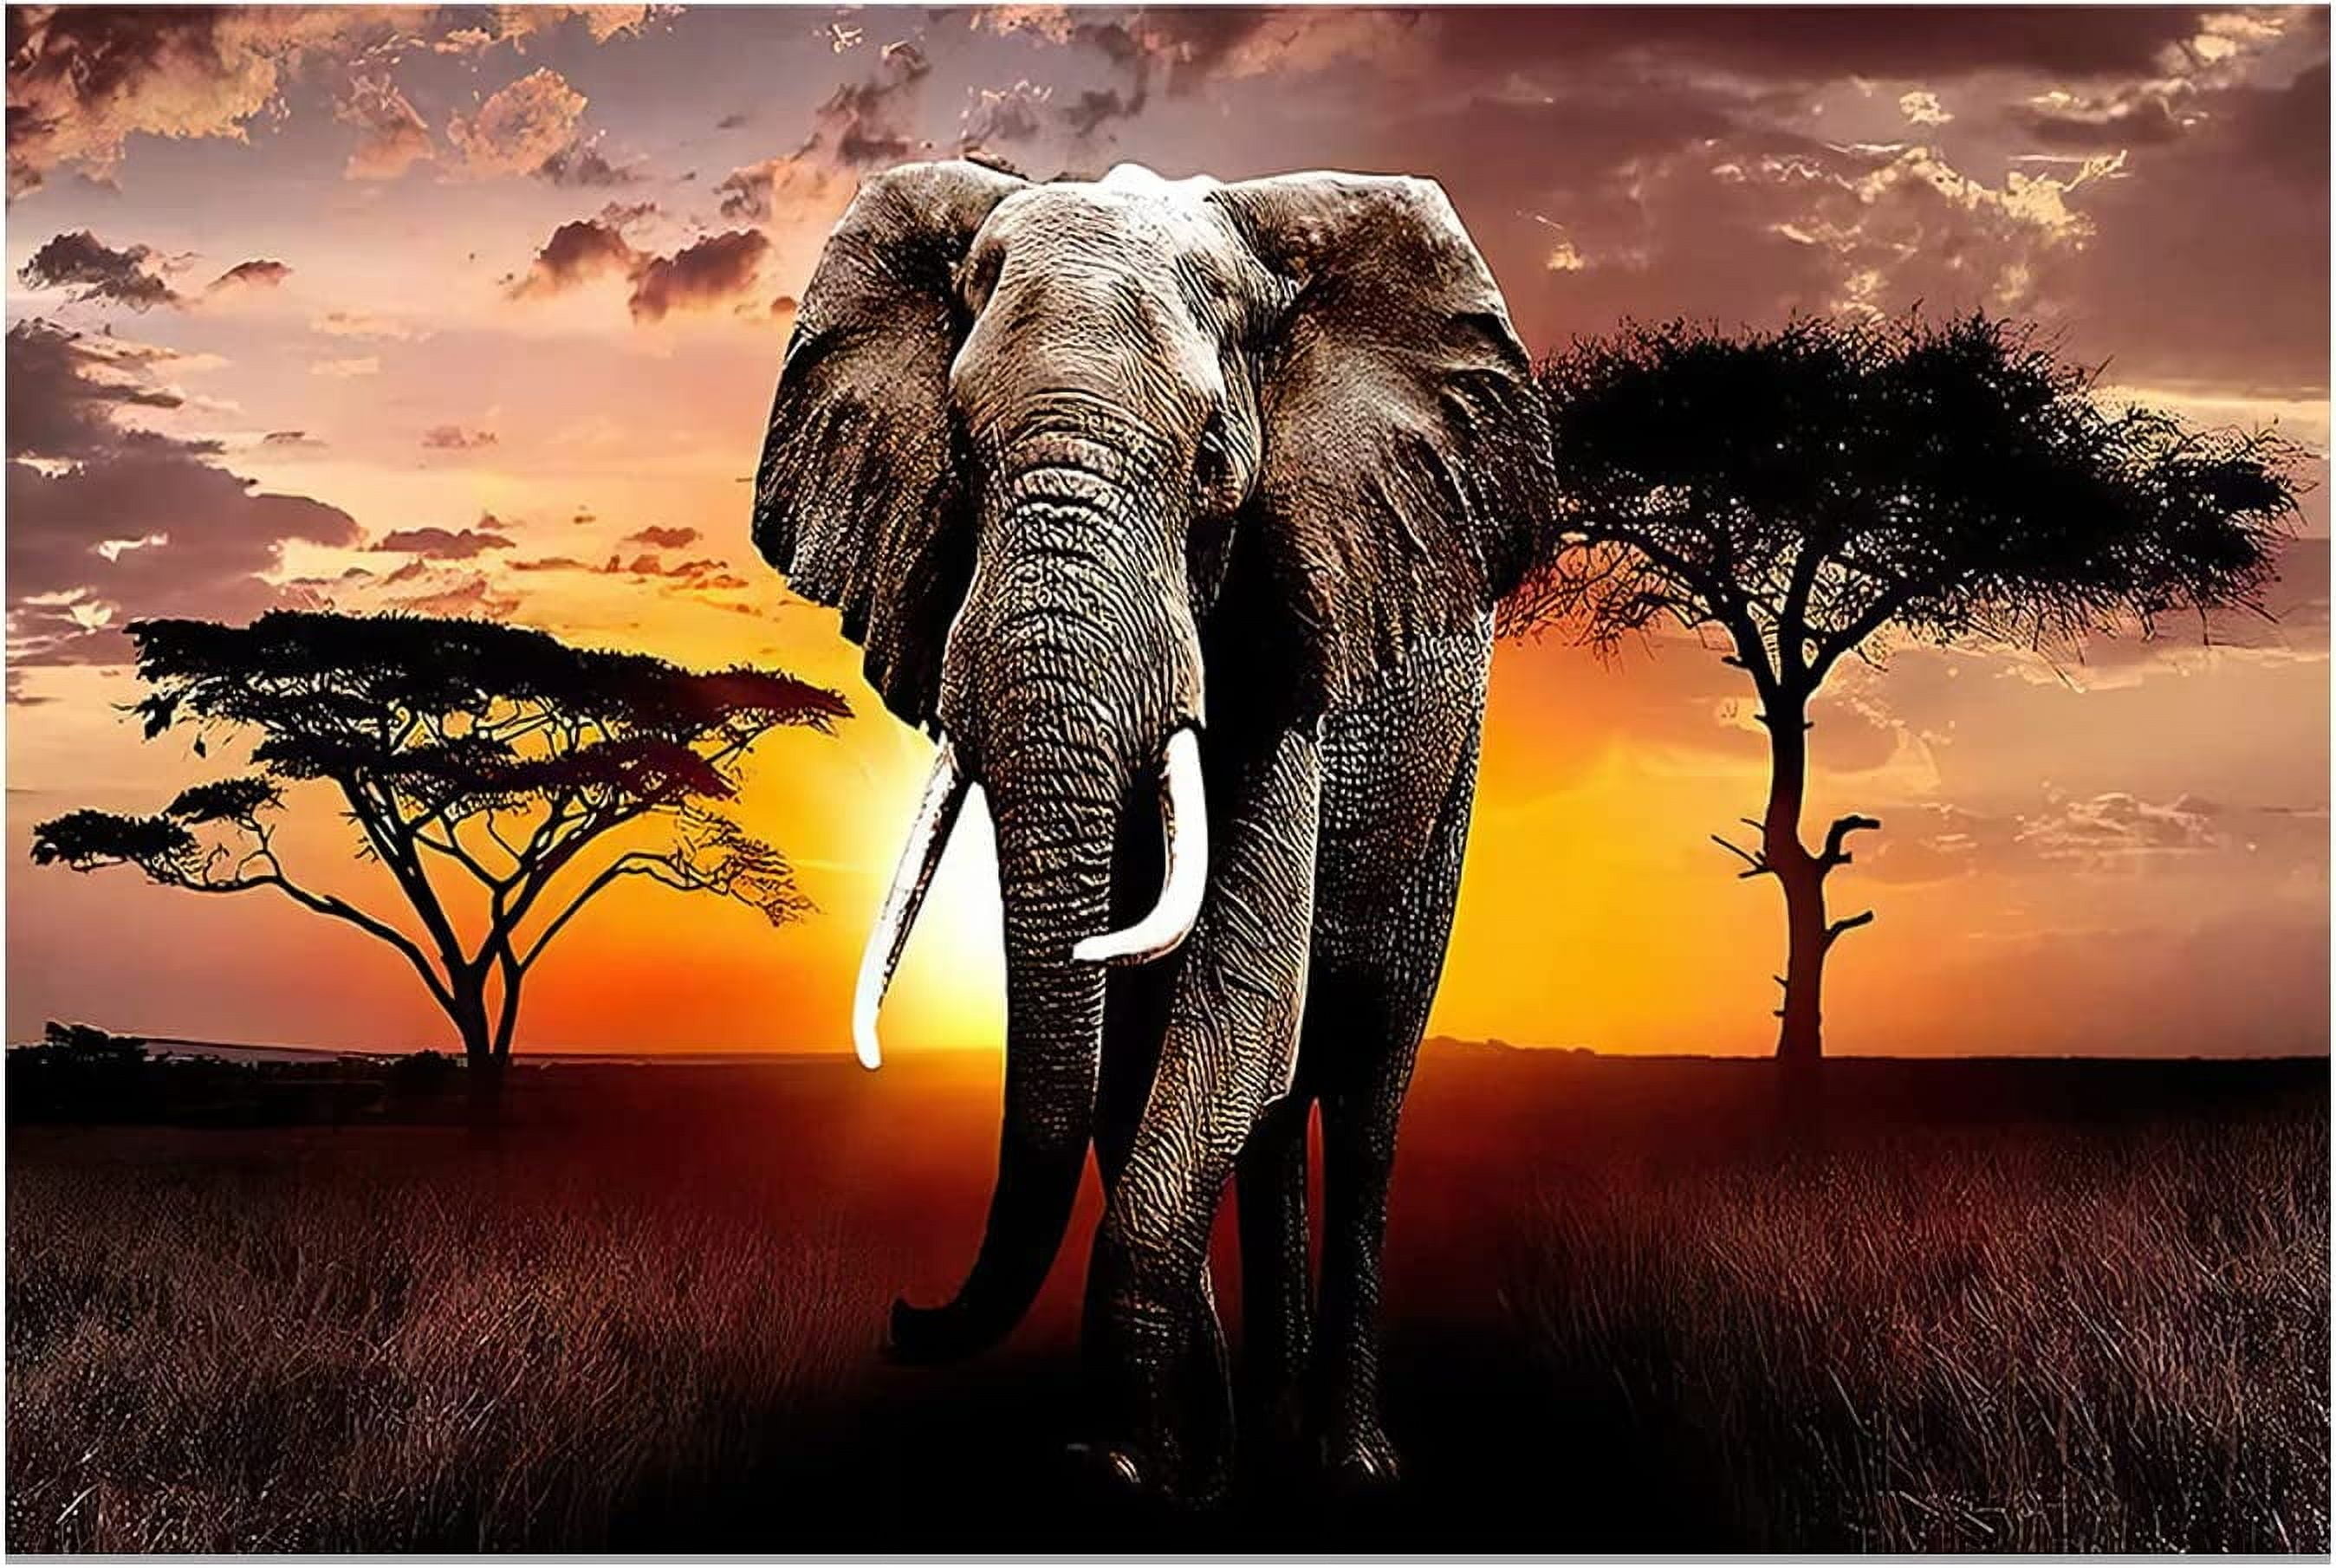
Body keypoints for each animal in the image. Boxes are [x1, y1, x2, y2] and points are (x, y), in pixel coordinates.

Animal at [752, 160, 1557, 1504]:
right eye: (959, 451)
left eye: (1213, 465)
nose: (904, 1317)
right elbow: (1140, 1050)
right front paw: (1162, 1460)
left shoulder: (1287, 637)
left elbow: (1233, 1004)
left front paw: (1127, 1466)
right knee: (1277, 1105)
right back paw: (1273, 1432)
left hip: (1449, 756)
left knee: (1364, 1069)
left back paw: (1348, 1462)